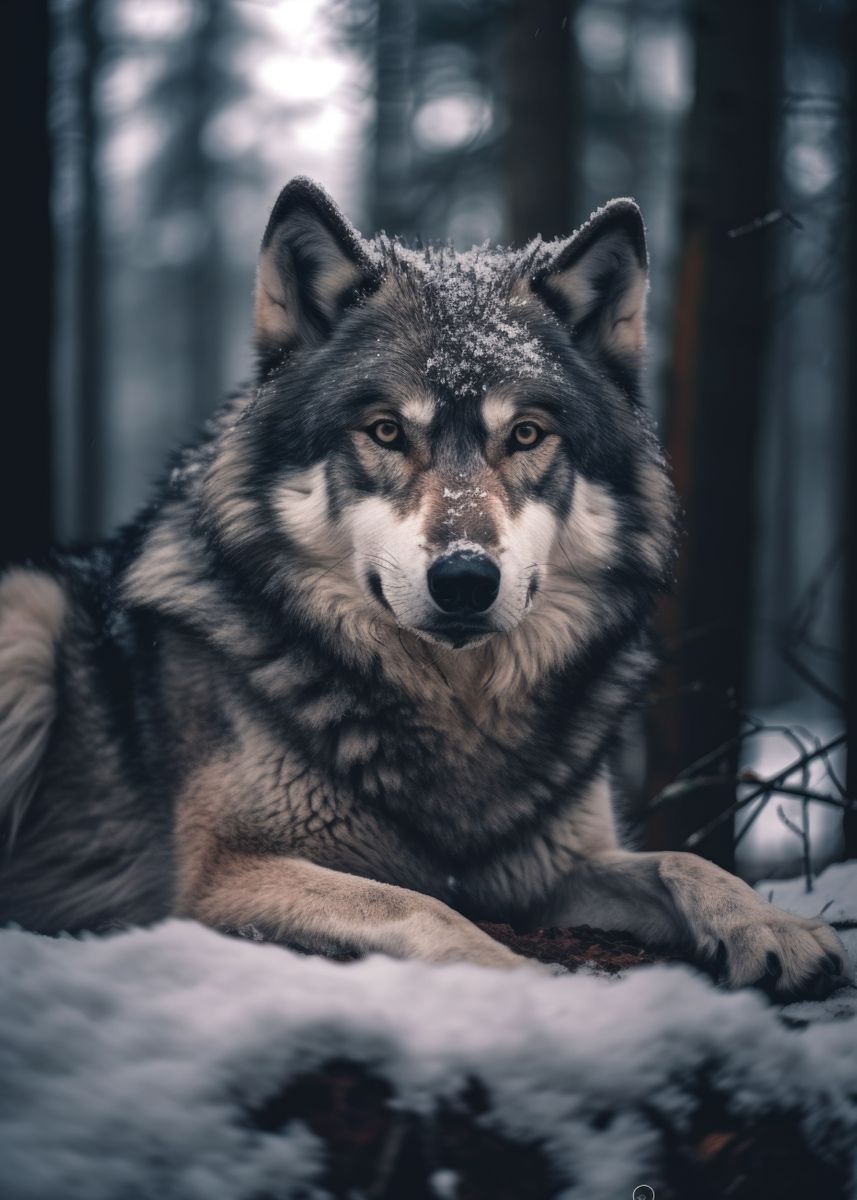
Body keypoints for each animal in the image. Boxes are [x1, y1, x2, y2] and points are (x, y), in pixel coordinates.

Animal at [0, 177, 848, 999]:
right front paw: (522, 981)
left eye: (526, 435)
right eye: (385, 431)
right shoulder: (222, 874)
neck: (455, 712)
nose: (466, 579)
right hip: (29, 617)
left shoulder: (545, 868)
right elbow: (422, 906)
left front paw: (769, 924)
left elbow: (687, 862)